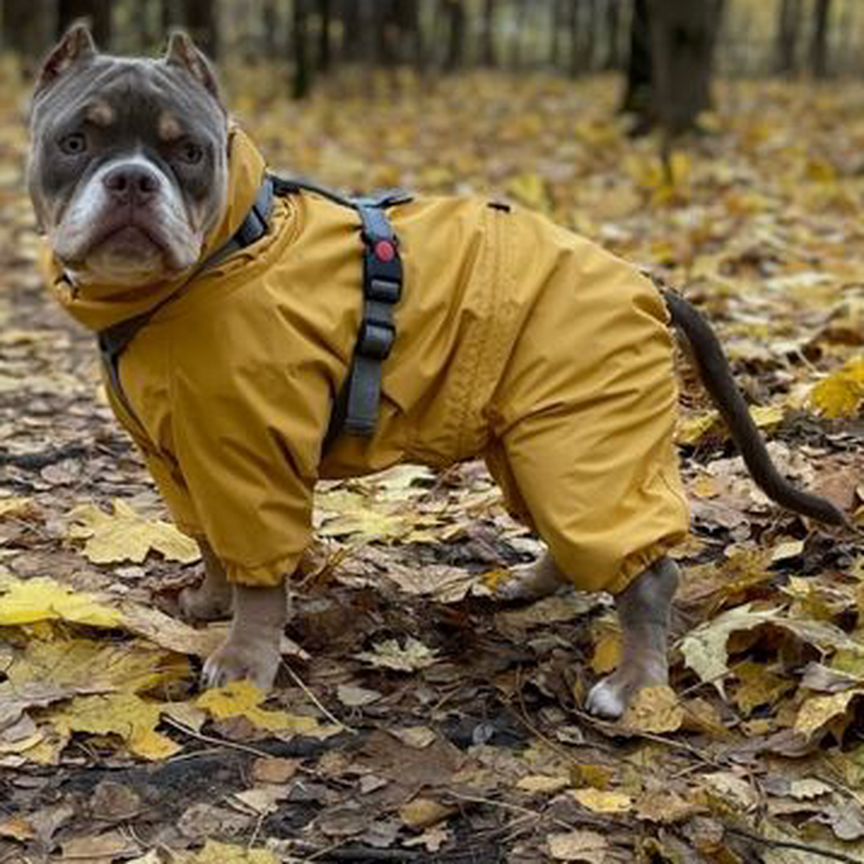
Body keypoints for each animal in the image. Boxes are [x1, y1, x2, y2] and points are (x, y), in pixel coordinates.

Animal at [25, 27, 844, 720]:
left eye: (190, 153)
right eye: (74, 142)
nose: (133, 181)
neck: (221, 258)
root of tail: (644, 280)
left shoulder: (248, 458)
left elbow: (260, 573)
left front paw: (244, 661)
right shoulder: (181, 463)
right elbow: (209, 543)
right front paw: (206, 602)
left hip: (583, 444)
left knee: (645, 573)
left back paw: (633, 687)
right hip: (535, 447)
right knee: (571, 535)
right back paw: (529, 585)